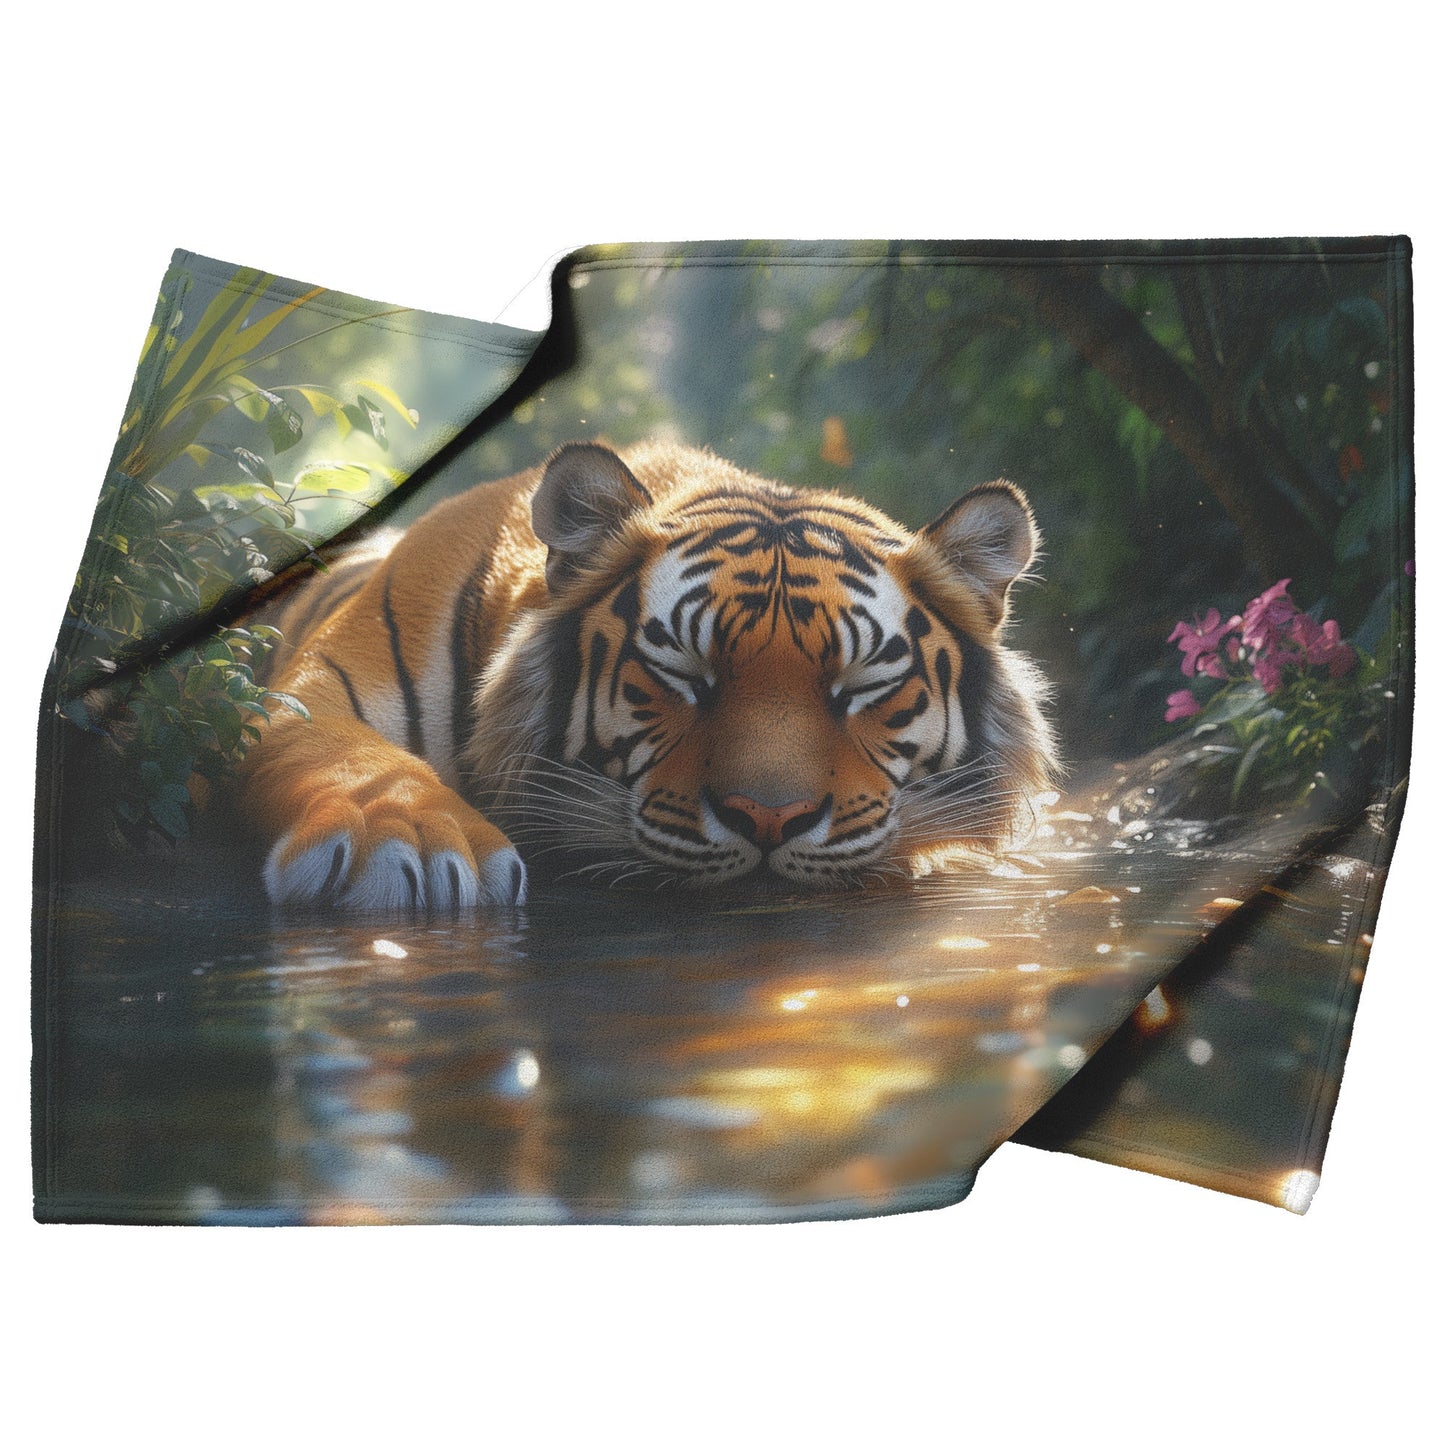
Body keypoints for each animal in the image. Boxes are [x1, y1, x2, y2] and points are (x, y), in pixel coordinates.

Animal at [237, 440, 1056, 909]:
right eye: (685, 673)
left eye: (857, 688)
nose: (769, 820)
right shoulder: (315, 696)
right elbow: (355, 758)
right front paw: (406, 844)